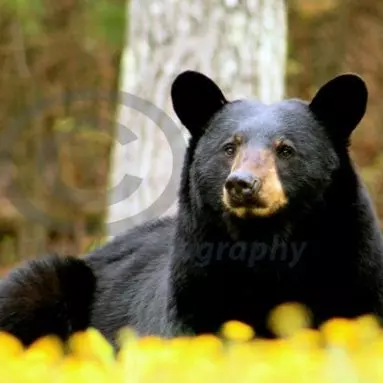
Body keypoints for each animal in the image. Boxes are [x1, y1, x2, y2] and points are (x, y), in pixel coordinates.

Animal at [0, 70, 383, 350]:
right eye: (229, 147)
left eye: (286, 149)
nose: (242, 184)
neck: (263, 245)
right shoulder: (194, 289)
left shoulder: (356, 275)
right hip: (45, 279)